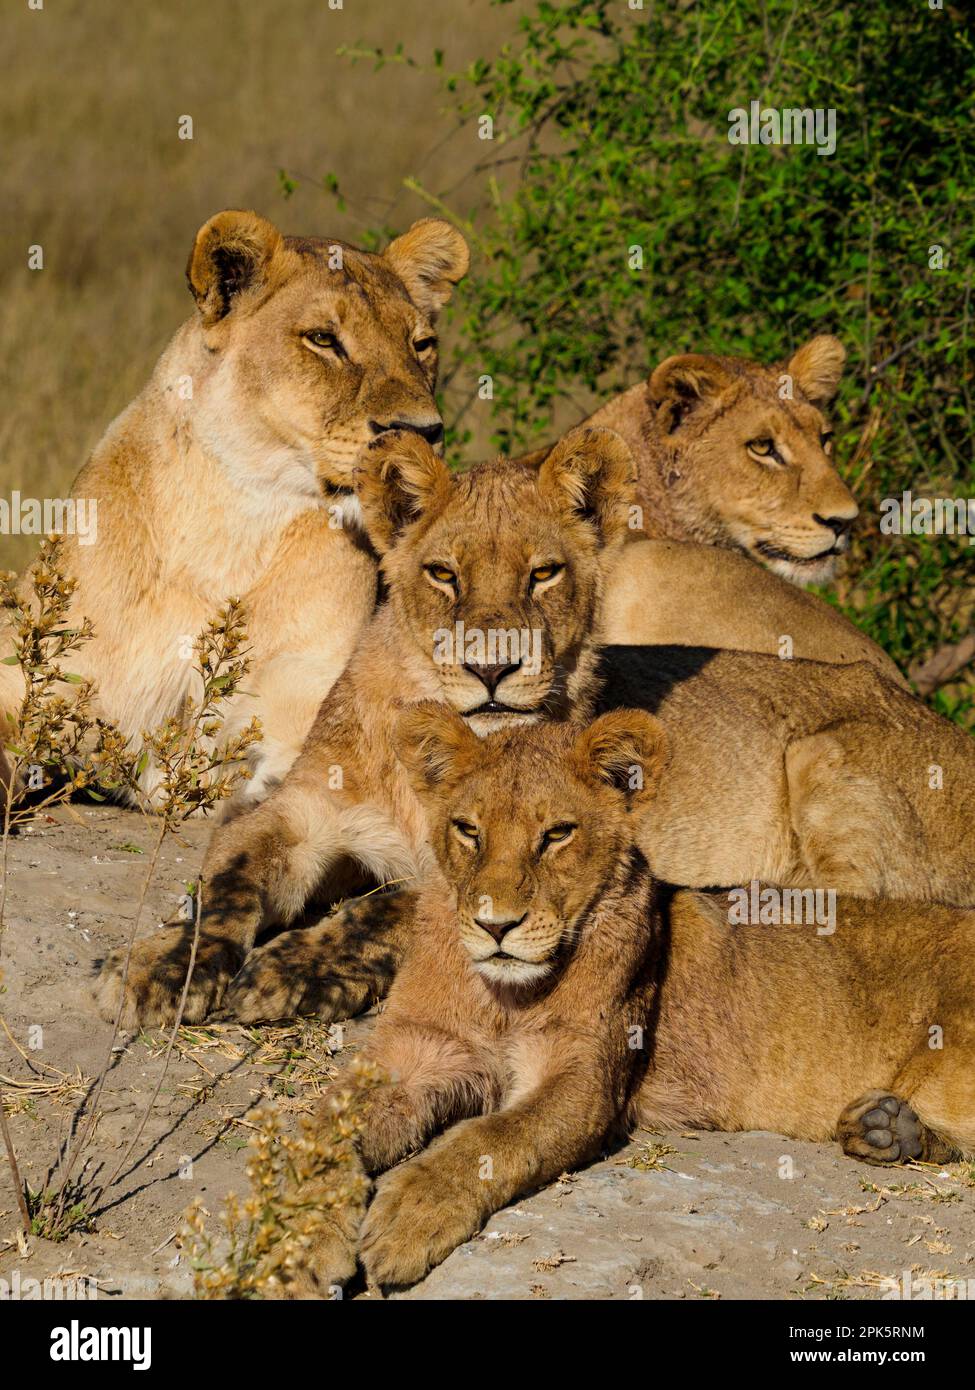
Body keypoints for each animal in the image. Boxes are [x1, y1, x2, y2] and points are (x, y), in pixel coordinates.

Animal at [93, 426, 975, 1029]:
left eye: (543, 573)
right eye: (443, 574)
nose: (492, 669)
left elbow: (394, 906)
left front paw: (293, 975)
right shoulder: (302, 807)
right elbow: (227, 881)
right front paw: (159, 969)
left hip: (825, 753)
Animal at [277, 706, 975, 1294]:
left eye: (557, 834)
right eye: (468, 831)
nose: (496, 925)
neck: (501, 997)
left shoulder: (587, 1077)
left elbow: (492, 1139)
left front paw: (410, 1211)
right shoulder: (413, 1052)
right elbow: (320, 1132)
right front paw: (296, 1242)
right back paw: (885, 1129)